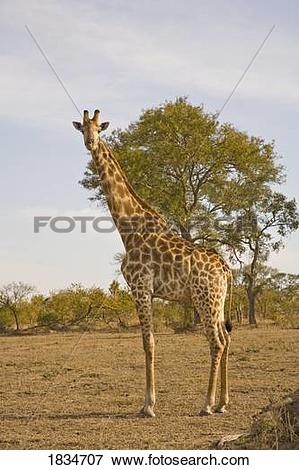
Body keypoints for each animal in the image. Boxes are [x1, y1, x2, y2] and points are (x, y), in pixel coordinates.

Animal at [72, 109, 232, 414]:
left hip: (205, 299)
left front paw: (148, 405)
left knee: (216, 343)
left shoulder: (140, 287)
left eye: (99, 128)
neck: (128, 229)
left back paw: (206, 404)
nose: (90, 142)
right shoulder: (148, 291)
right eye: (82, 129)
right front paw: (148, 402)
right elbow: (149, 342)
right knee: (227, 338)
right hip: (217, 302)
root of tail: (226, 269)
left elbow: (148, 343)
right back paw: (222, 402)